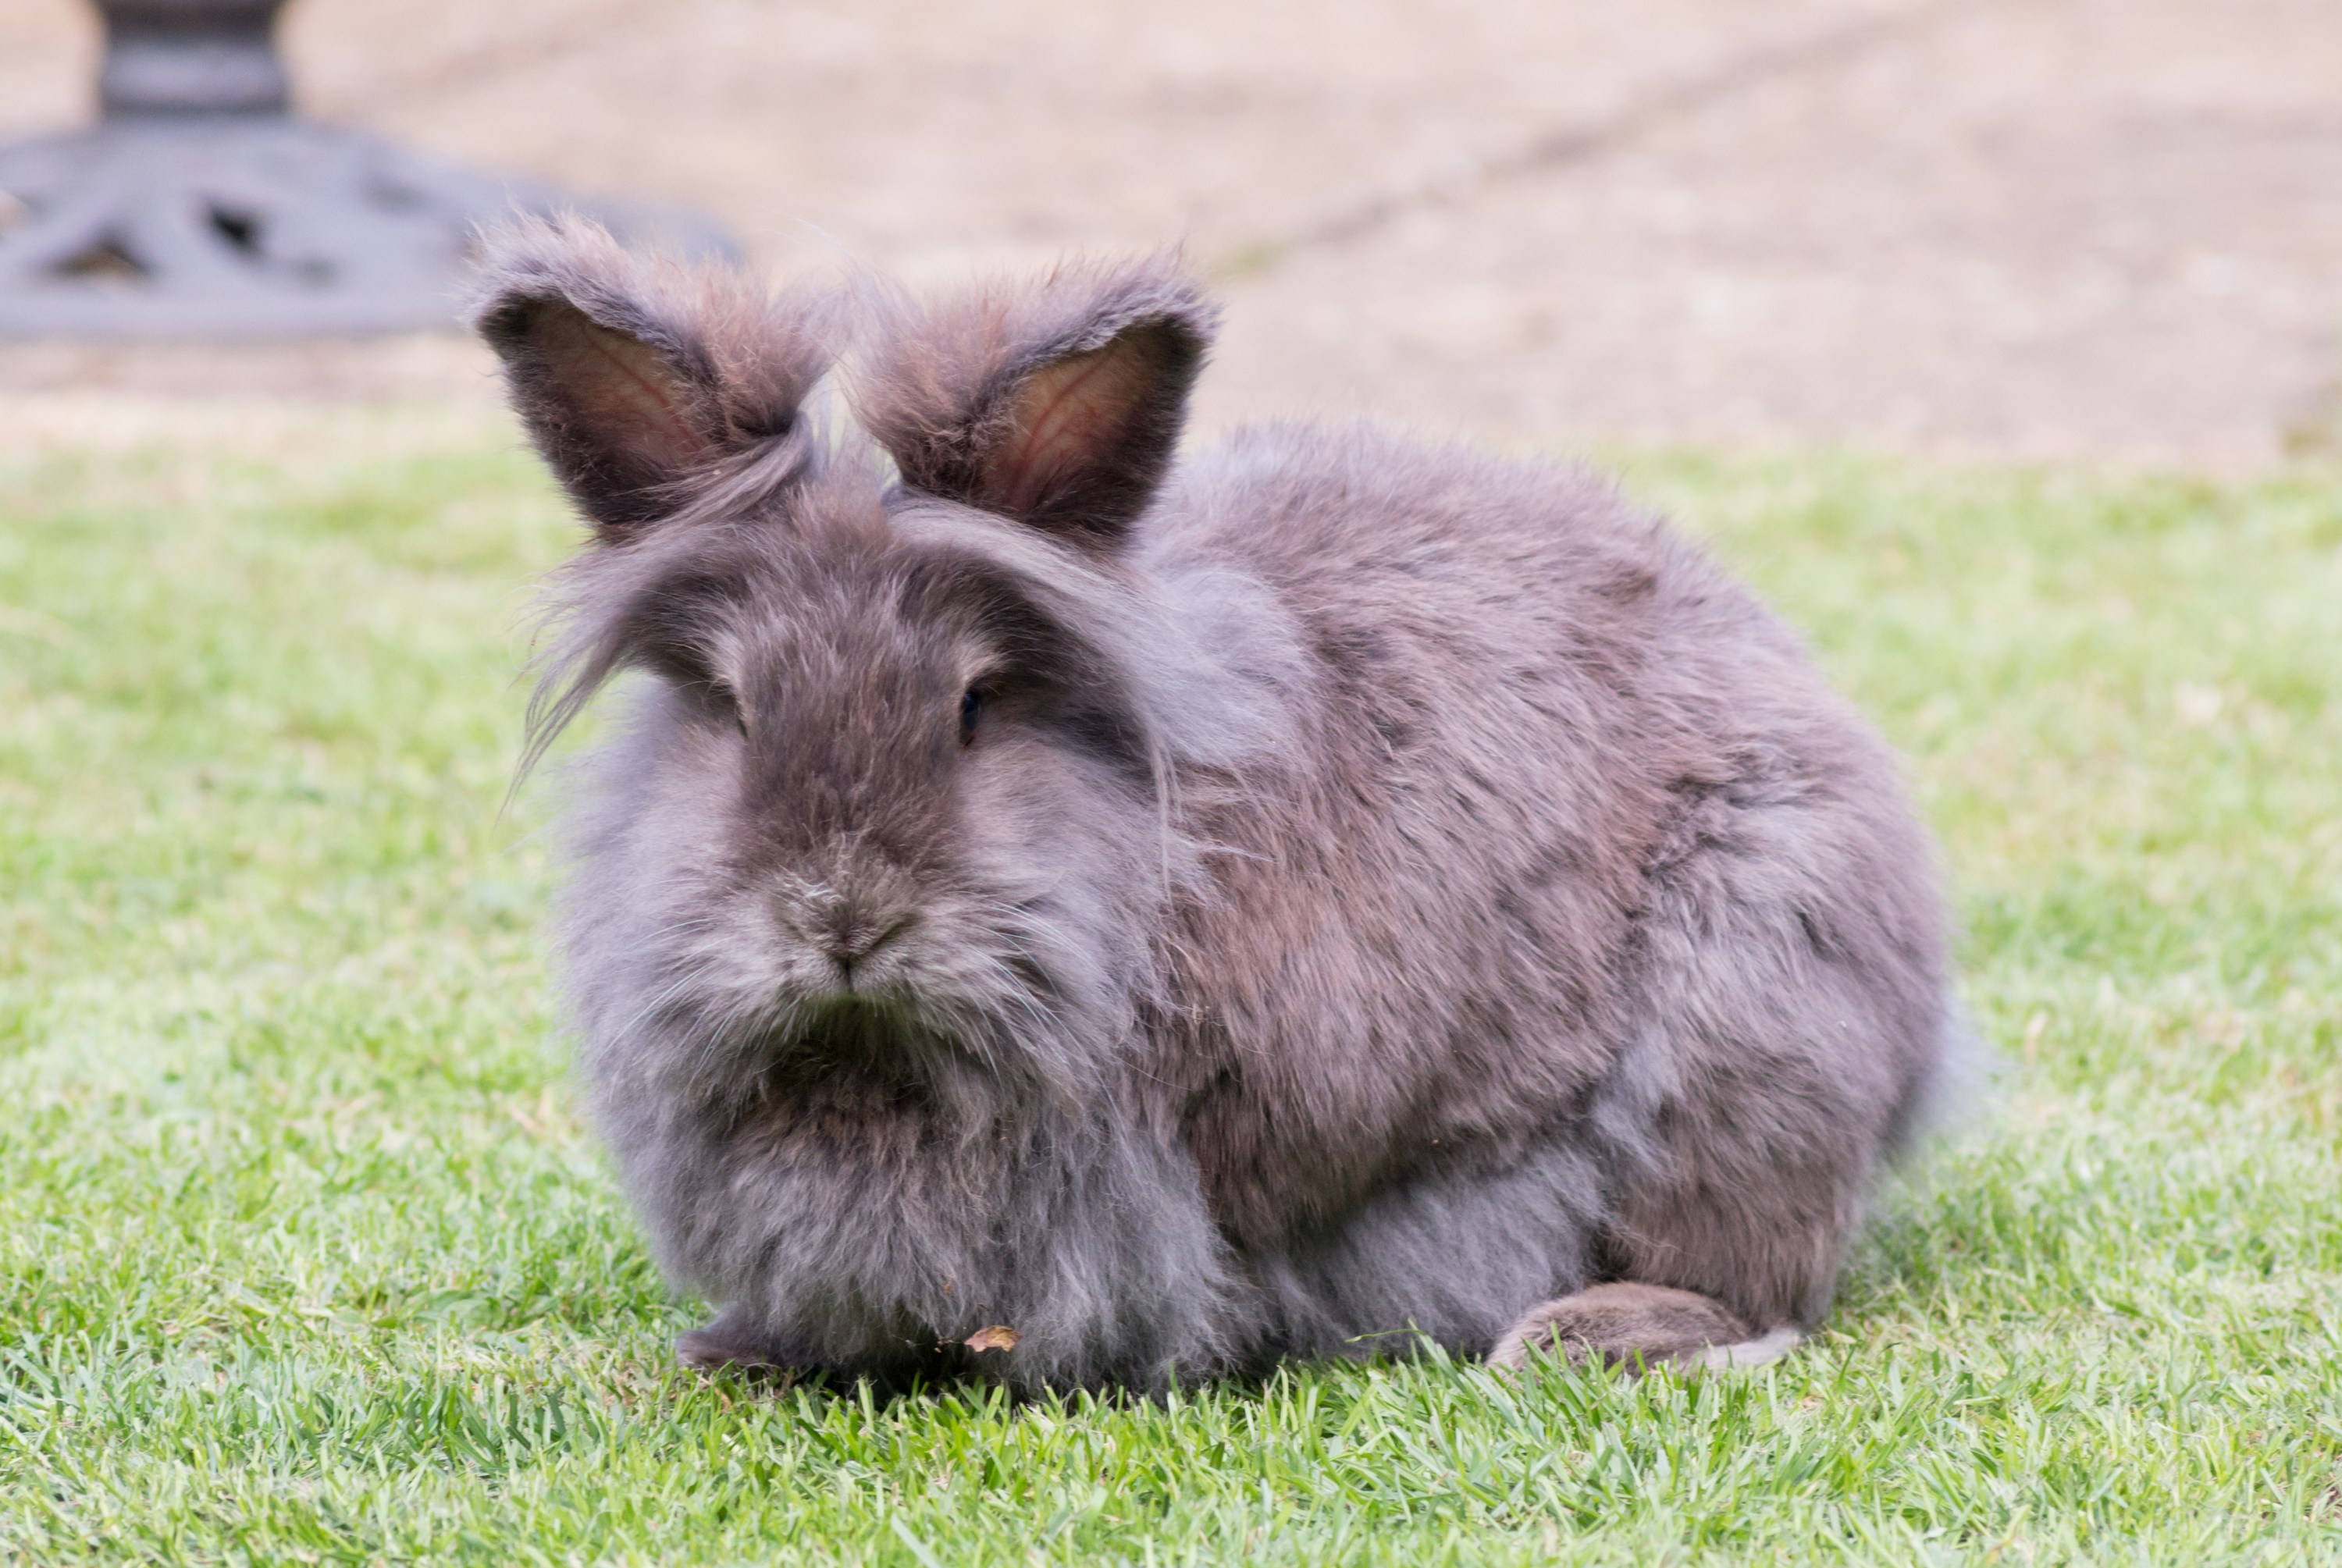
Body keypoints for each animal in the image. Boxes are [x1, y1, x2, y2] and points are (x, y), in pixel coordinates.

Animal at [470, 216, 1953, 1392]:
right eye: (729, 706)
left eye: (975, 705)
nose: (843, 917)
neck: (875, 1064)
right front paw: (743, 1350)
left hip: (1751, 1034)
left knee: (1761, 1280)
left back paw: (1588, 1332)